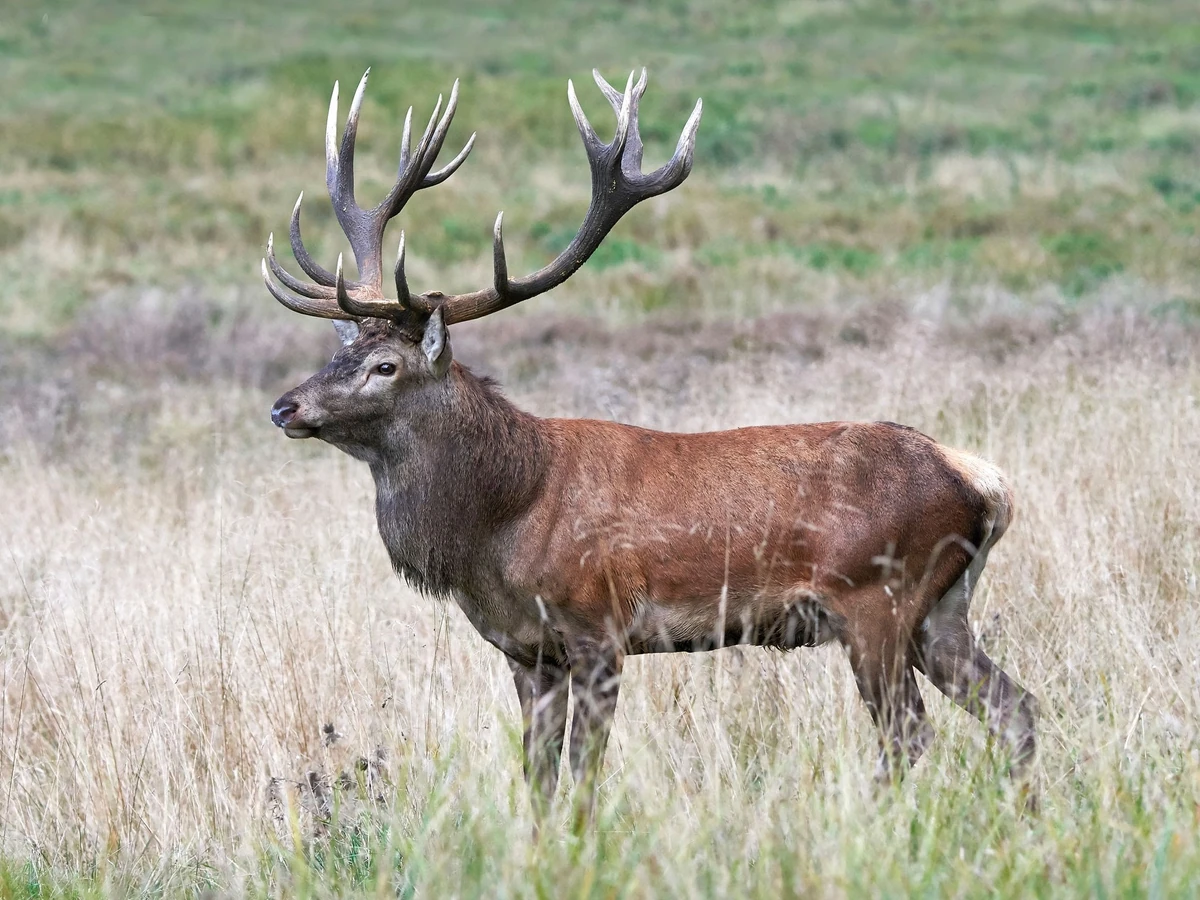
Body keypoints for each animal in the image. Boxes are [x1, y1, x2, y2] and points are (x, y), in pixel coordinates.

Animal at [262, 67, 1039, 828]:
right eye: (338, 353)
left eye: (384, 366)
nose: (284, 406)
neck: (503, 519)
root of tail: (985, 482)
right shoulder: (525, 651)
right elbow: (537, 779)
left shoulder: (599, 628)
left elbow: (583, 774)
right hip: (942, 608)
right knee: (1016, 707)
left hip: (878, 598)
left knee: (910, 732)